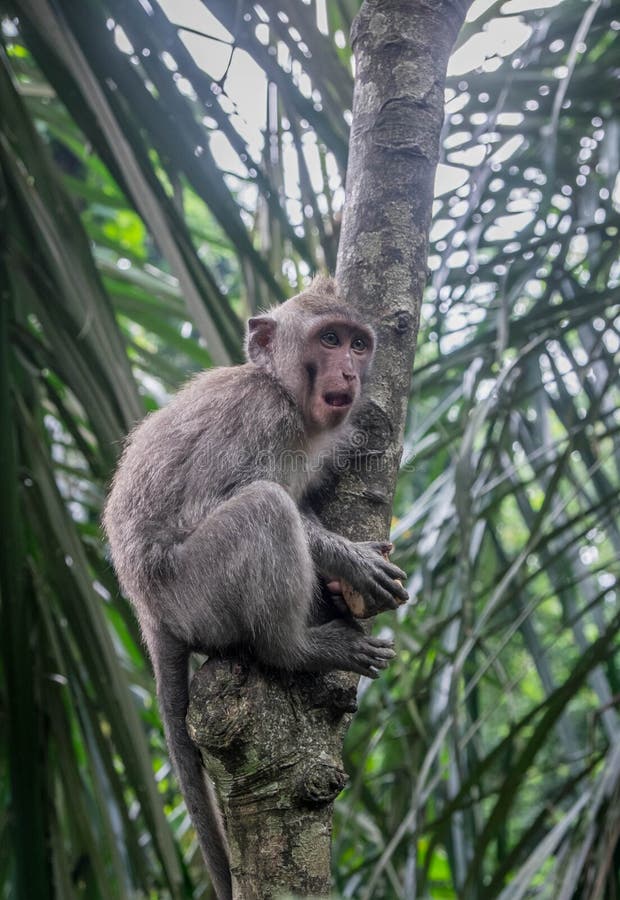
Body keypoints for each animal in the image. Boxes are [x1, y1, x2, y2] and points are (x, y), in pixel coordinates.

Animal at [102, 276, 408, 900]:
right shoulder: (261, 419)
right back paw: (296, 647)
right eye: (330, 339)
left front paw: (339, 572)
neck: (281, 389)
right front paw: (347, 559)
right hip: (192, 591)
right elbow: (218, 501)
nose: (349, 372)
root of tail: (146, 611)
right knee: (263, 507)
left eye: (358, 344)